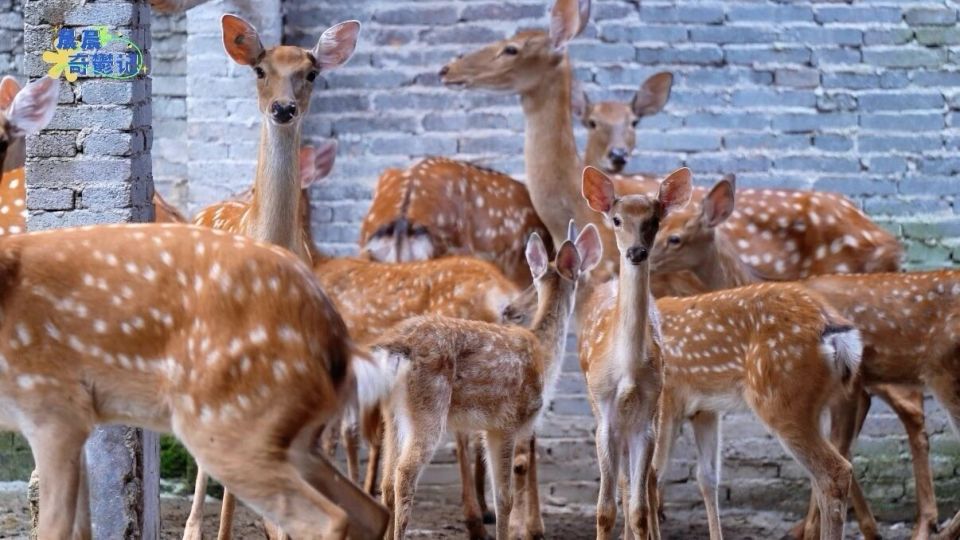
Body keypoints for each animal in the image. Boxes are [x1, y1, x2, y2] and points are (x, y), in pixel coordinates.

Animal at [0, 222, 390, 539]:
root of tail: (337, 338)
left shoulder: (53, 406)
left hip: (227, 420)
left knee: (328, 520)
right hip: (288, 434)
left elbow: (54, 528)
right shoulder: (78, 420)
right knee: (372, 512)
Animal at [372, 222, 601, 540]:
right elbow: (504, 498)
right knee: (404, 474)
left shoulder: (488, 427)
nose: (510, 309)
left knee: (386, 482)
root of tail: (394, 347)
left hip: (392, 414)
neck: (543, 353)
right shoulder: (507, 422)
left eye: (533, 285)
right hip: (428, 405)